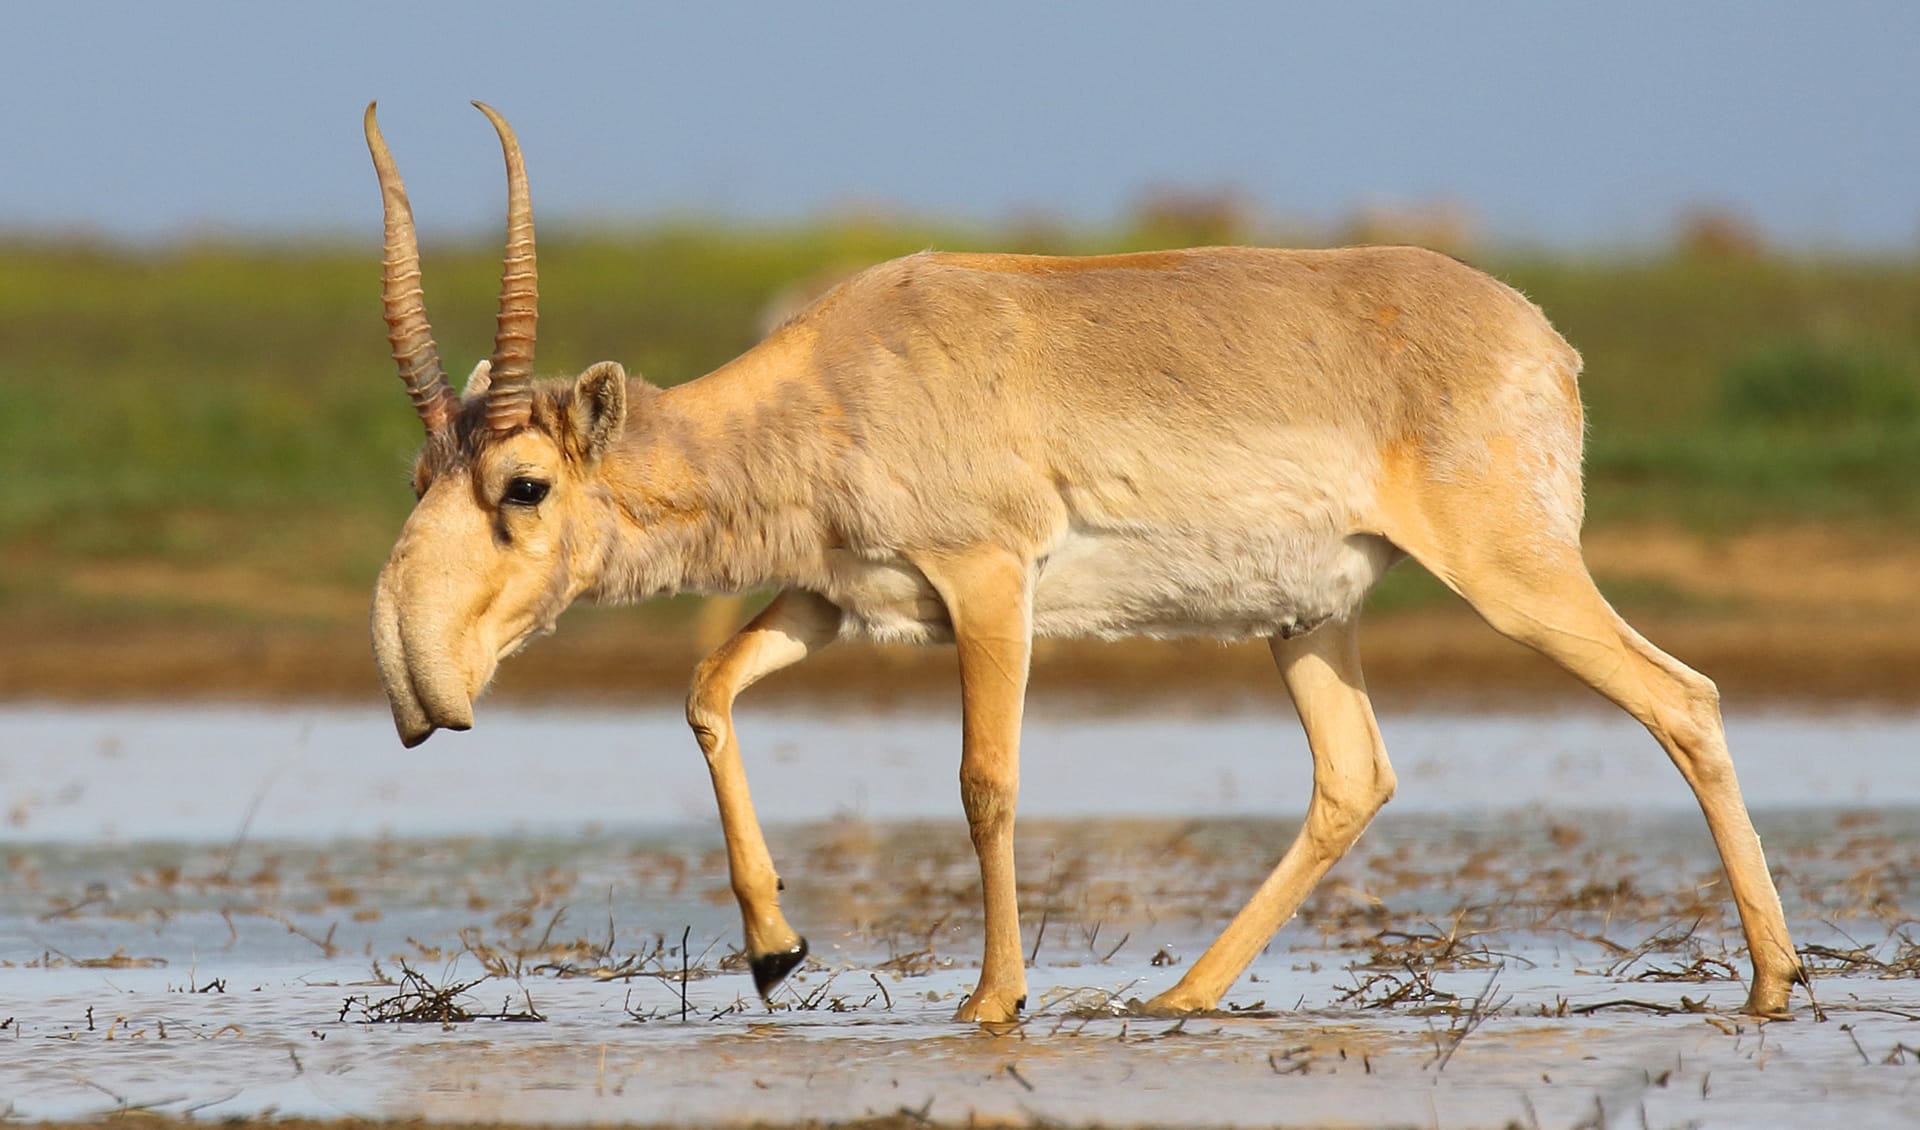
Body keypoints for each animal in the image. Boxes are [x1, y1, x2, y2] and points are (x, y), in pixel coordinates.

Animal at [365, 103, 1804, 1023]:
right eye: (421, 472)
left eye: (524, 483)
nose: (413, 678)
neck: (838, 373)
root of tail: (1541, 338)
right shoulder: (838, 598)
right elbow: (706, 689)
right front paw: (776, 950)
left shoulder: (989, 583)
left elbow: (985, 780)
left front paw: (992, 999)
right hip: (1306, 620)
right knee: (1355, 775)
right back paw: (1181, 993)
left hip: (1513, 575)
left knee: (1681, 697)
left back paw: (1774, 980)